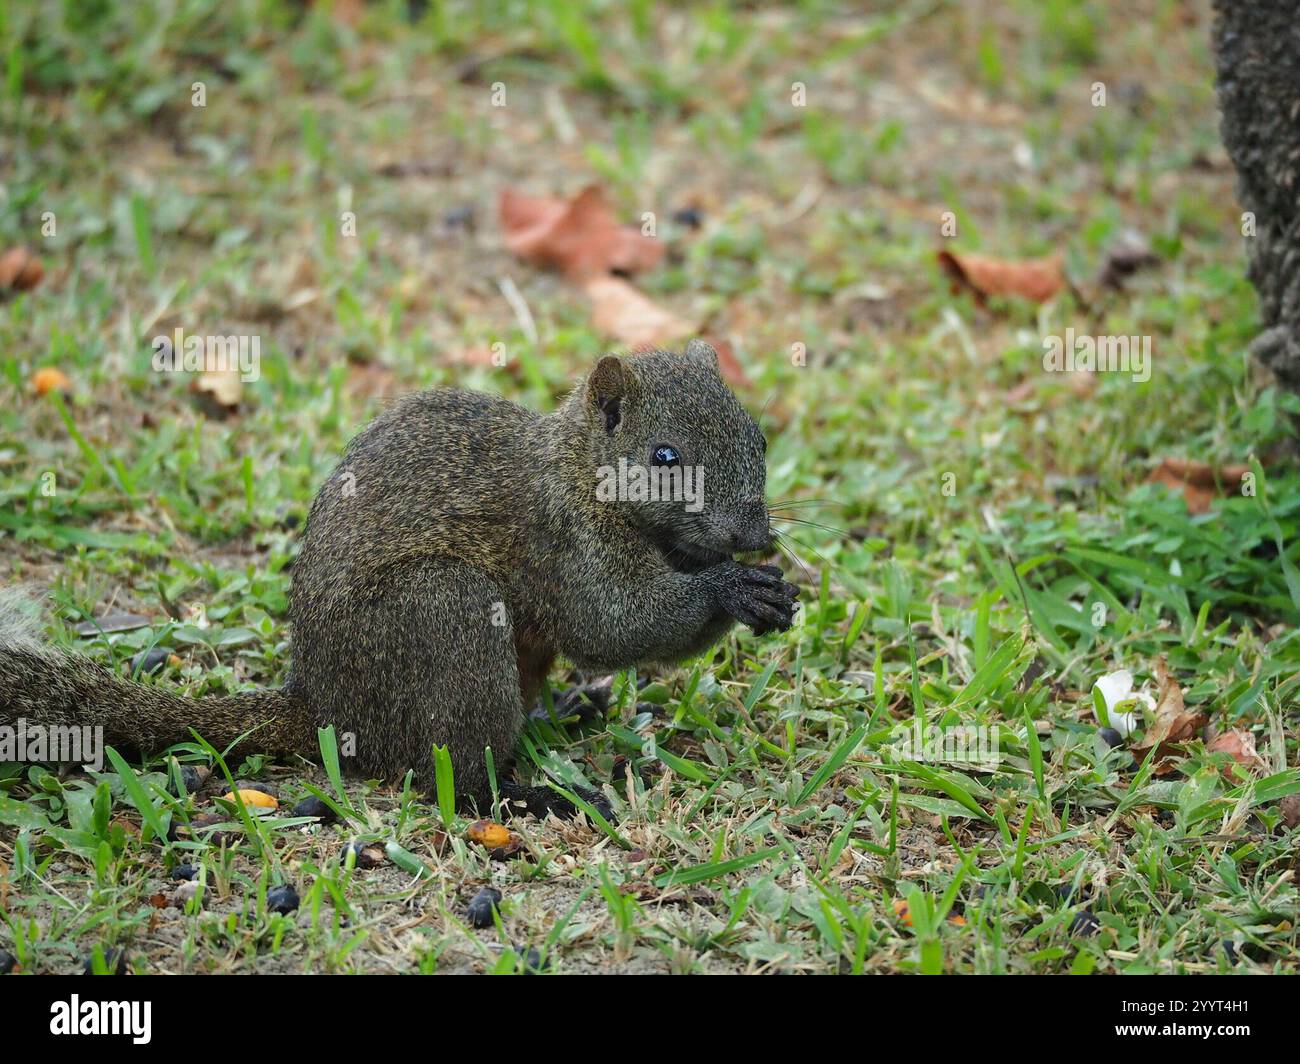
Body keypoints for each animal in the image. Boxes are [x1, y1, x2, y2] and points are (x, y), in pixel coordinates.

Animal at [0, 341, 799, 811]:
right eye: (665, 458)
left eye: (760, 437)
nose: (754, 535)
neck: (579, 471)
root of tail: (328, 711)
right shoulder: (564, 541)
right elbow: (616, 623)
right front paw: (734, 589)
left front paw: (769, 585)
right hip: (443, 610)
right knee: (453, 772)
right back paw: (522, 796)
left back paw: (566, 710)